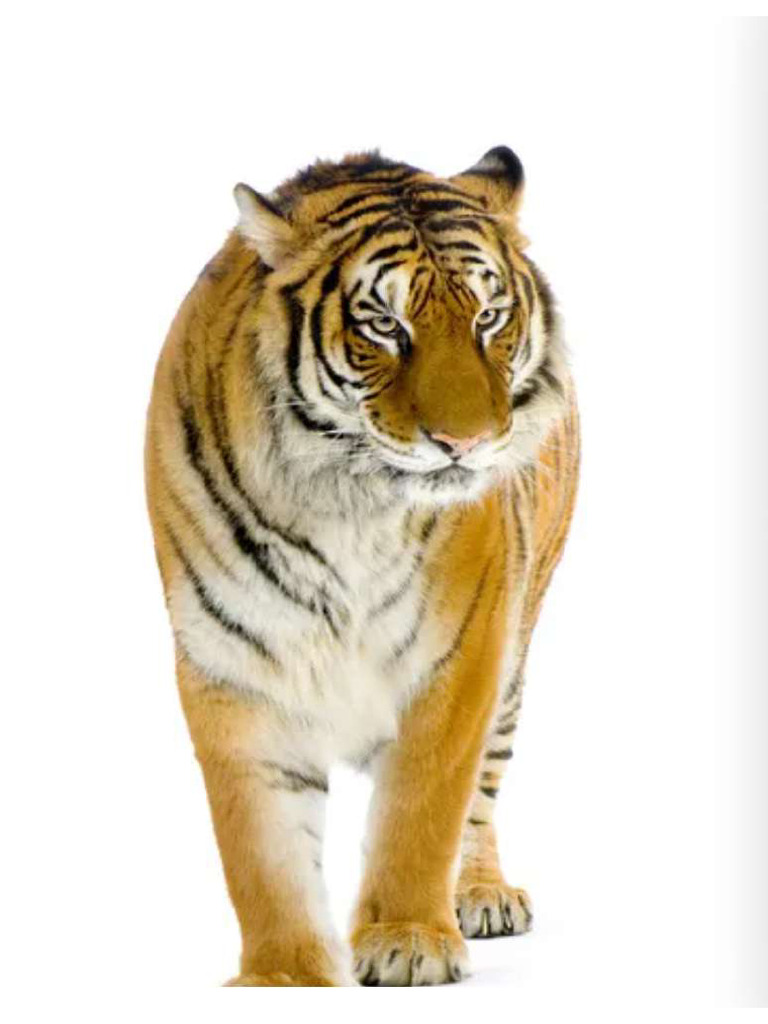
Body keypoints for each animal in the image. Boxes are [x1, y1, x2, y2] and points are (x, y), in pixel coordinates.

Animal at [145, 146, 579, 987]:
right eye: (385, 325)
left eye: (487, 317)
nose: (466, 443)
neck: (345, 501)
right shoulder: (233, 661)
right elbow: (261, 848)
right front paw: (284, 975)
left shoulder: (461, 654)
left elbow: (422, 810)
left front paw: (408, 941)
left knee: (483, 789)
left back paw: (482, 895)